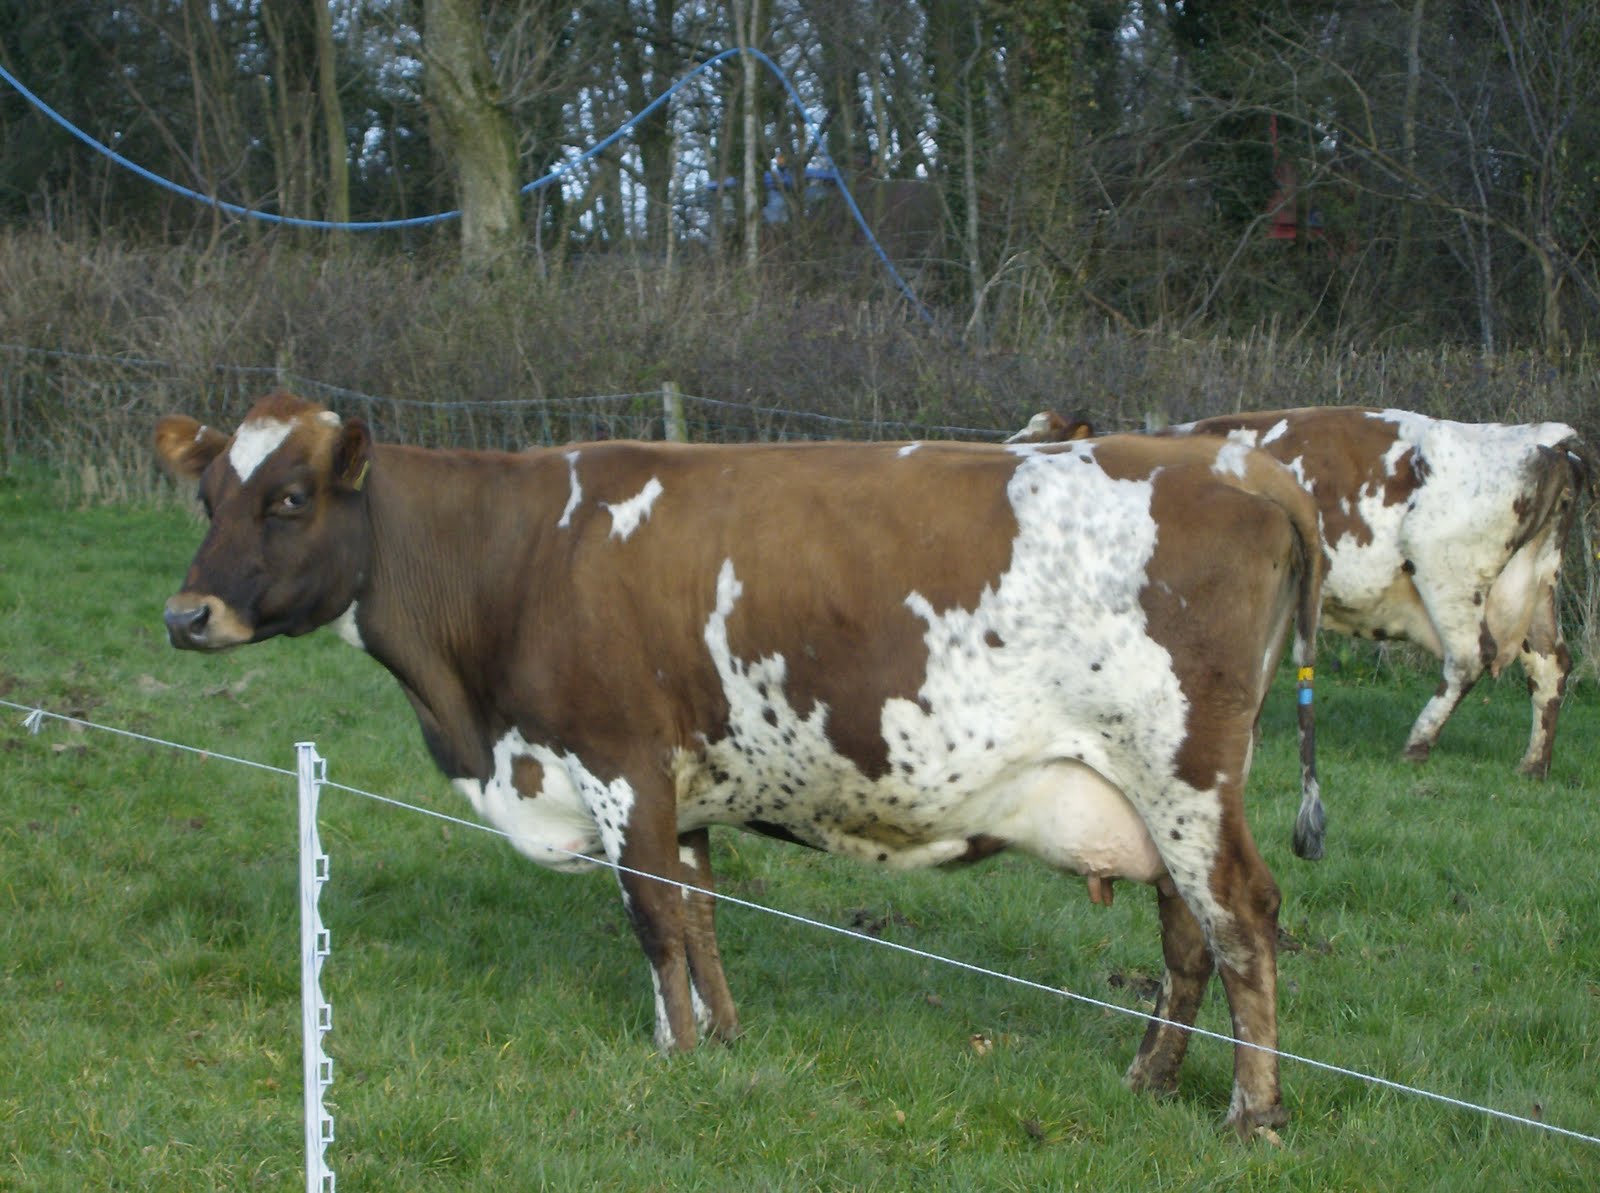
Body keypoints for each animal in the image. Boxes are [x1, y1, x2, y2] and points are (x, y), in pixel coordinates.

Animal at [154, 391, 1325, 1137]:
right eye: (207, 497)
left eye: (290, 498)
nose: (185, 614)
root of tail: (1234, 460)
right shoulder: (682, 783)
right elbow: (700, 909)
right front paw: (717, 1038)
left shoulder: (619, 760)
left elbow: (652, 916)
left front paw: (669, 1054)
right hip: (1153, 785)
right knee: (1186, 930)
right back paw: (1149, 1079)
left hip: (1182, 767)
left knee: (1240, 915)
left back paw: (1252, 1112)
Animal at [1009, 405, 1591, 777]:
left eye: (1036, 446)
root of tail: (1543, 438)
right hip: (1535, 589)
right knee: (1550, 666)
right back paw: (1534, 764)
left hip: (1450, 577)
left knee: (1470, 659)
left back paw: (1418, 744)